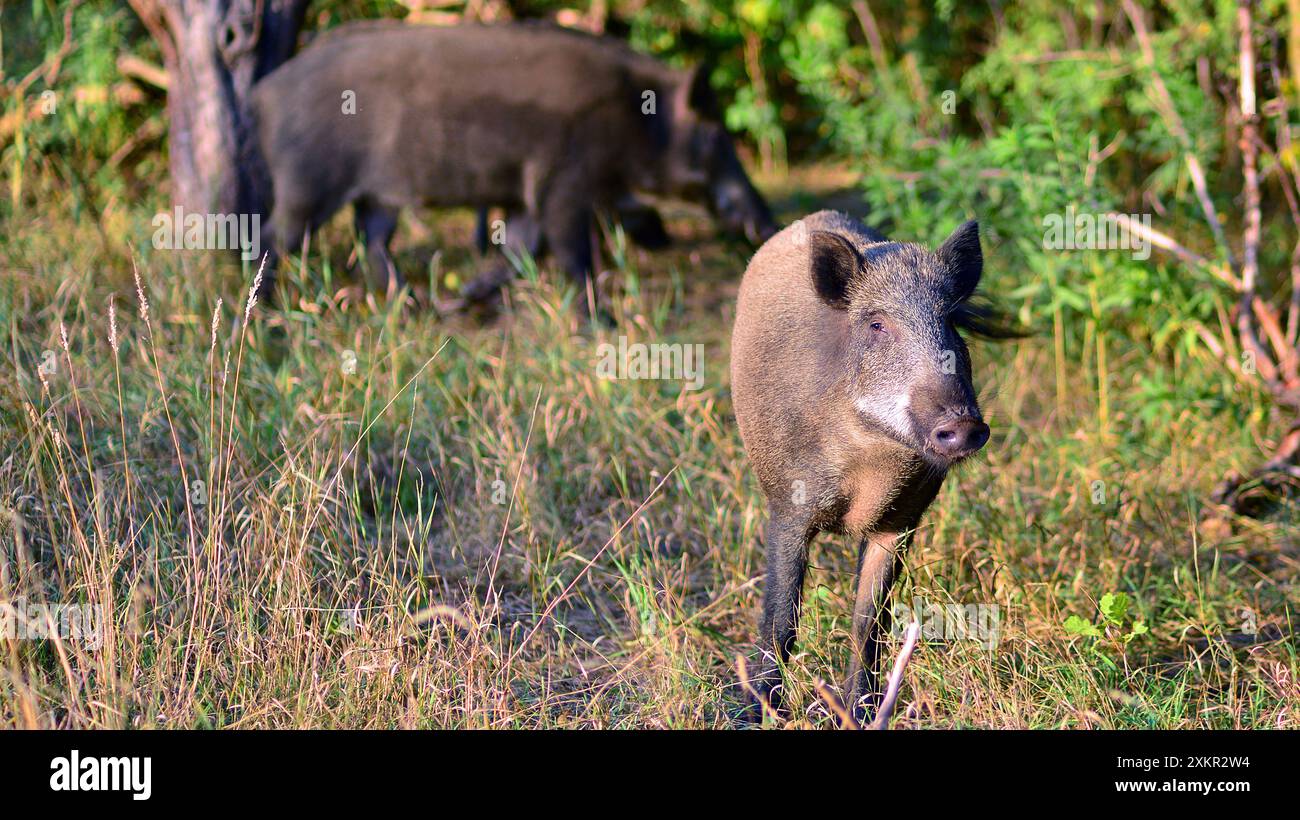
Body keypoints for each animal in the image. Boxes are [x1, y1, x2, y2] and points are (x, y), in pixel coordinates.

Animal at [251, 21, 775, 311]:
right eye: (716, 133)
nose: (767, 221)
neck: (638, 121)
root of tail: (264, 92)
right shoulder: (563, 183)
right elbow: (572, 256)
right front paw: (600, 323)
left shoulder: (528, 196)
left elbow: (522, 252)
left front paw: (469, 295)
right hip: (308, 185)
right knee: (275, 239)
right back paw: (264, 317)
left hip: (377, 197)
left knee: (373, 243)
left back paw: (416, 307)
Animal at [730, 210, 1006, 725]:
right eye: (878, 323)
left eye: (951, 321)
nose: (964, 424)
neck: (869, 468)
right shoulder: (788, 507)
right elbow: (781, 620)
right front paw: (762, 716)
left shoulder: (902, 521)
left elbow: (870, 624)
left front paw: (861, 714)